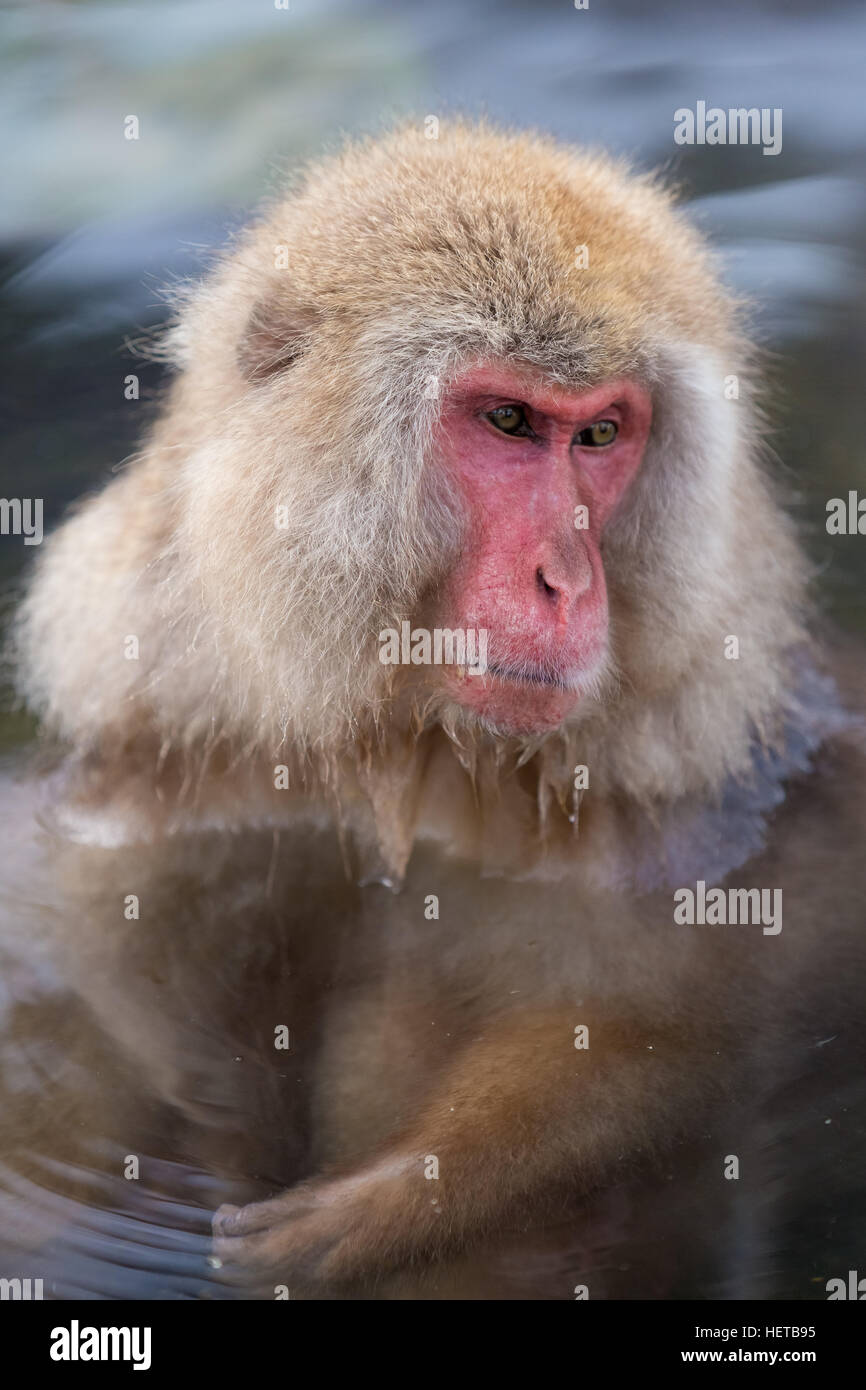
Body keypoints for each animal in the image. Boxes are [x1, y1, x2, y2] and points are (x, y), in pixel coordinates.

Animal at [3, 120, 865, 1300]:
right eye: (507, 421)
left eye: (600, 435)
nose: (565, 579)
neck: (406, 736)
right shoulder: (166, 758)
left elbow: (686, 1021)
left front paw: (400, 1197)